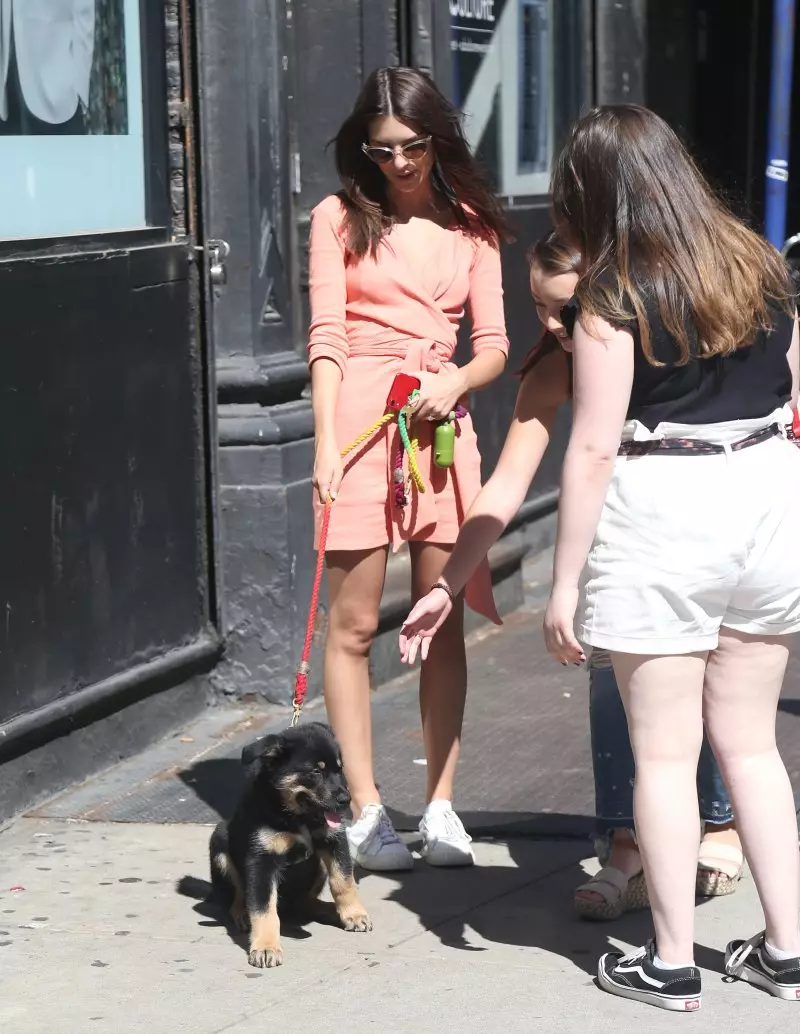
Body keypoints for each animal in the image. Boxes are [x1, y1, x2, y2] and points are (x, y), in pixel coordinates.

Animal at [206, 719, 370, 967]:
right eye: (316, 771)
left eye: (339, 769)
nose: (345, 800)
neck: (296, 816)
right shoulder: (261, 859)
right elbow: (263, 907)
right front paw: (266, 947)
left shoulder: (334, 841)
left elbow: (343, 881)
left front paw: (353, 913)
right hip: (220, 842)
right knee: (239, 895)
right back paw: (242, 913)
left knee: (304, 901)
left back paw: (329, 910)